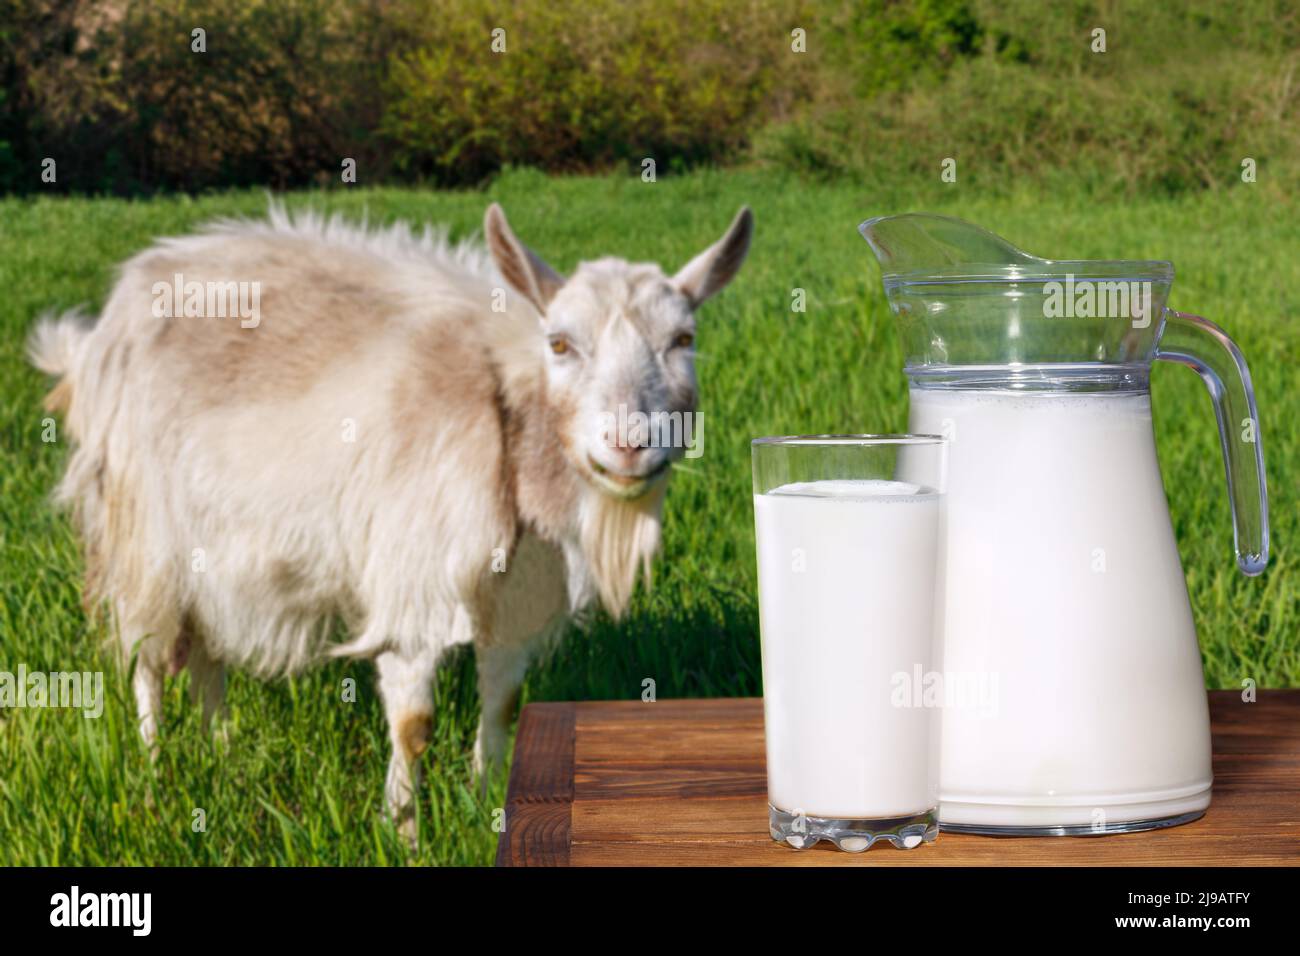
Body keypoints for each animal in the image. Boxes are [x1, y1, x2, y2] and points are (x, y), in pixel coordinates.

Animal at [28, 201, 753, 838]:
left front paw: (491, 797)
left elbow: (504, 699)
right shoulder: (414, 580)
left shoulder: (518, 585)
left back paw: (222, 750)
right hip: (138, 530)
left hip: (211, 545)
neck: (505, 403)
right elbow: (414, 724)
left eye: (683, 340)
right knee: (146, 658)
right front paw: (403, 831)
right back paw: (156, 770)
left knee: (206, 649)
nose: (630, 444)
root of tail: (101, 328)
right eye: (560, 343)